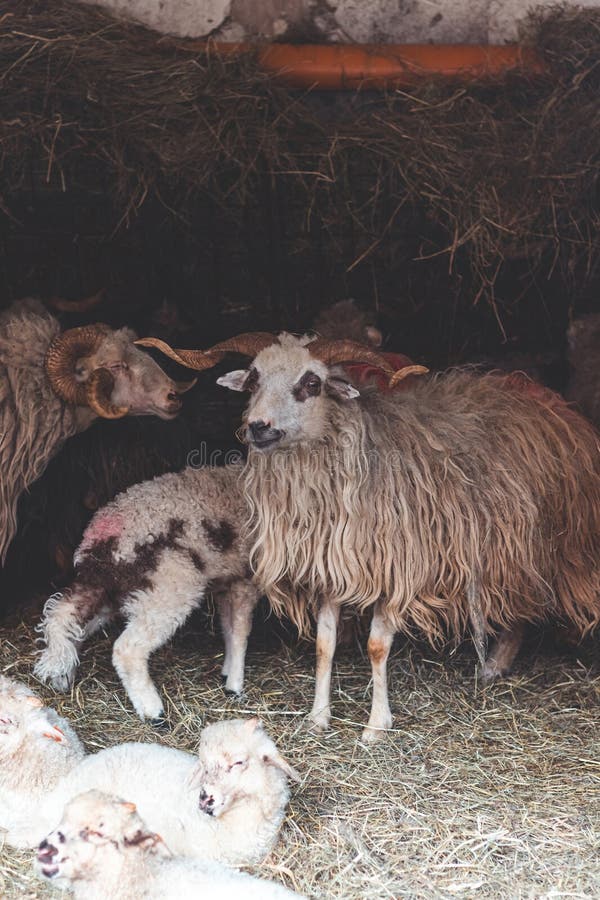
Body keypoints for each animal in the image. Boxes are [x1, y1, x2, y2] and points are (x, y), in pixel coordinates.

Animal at [34, 462, 259, 724]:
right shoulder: (248, 579)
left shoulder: (229, 581)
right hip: (167, 586)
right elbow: (240, 631)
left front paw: (227, 672)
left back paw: (62, 672)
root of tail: (101, 537)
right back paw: (153, 712)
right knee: (127, 649)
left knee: (65, 618)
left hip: (111, 589)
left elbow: (227, 626)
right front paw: (235, 685)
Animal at [141, 331, 600, 742]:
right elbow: (324, 644)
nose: (259, 427)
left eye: (312, 383)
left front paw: (376, 727)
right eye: (254, 379)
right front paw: (318, 717)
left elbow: (378, 647)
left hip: (547, 545)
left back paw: (494, 664)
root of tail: (551, 402)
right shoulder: (330, 570)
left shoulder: (399, 571)